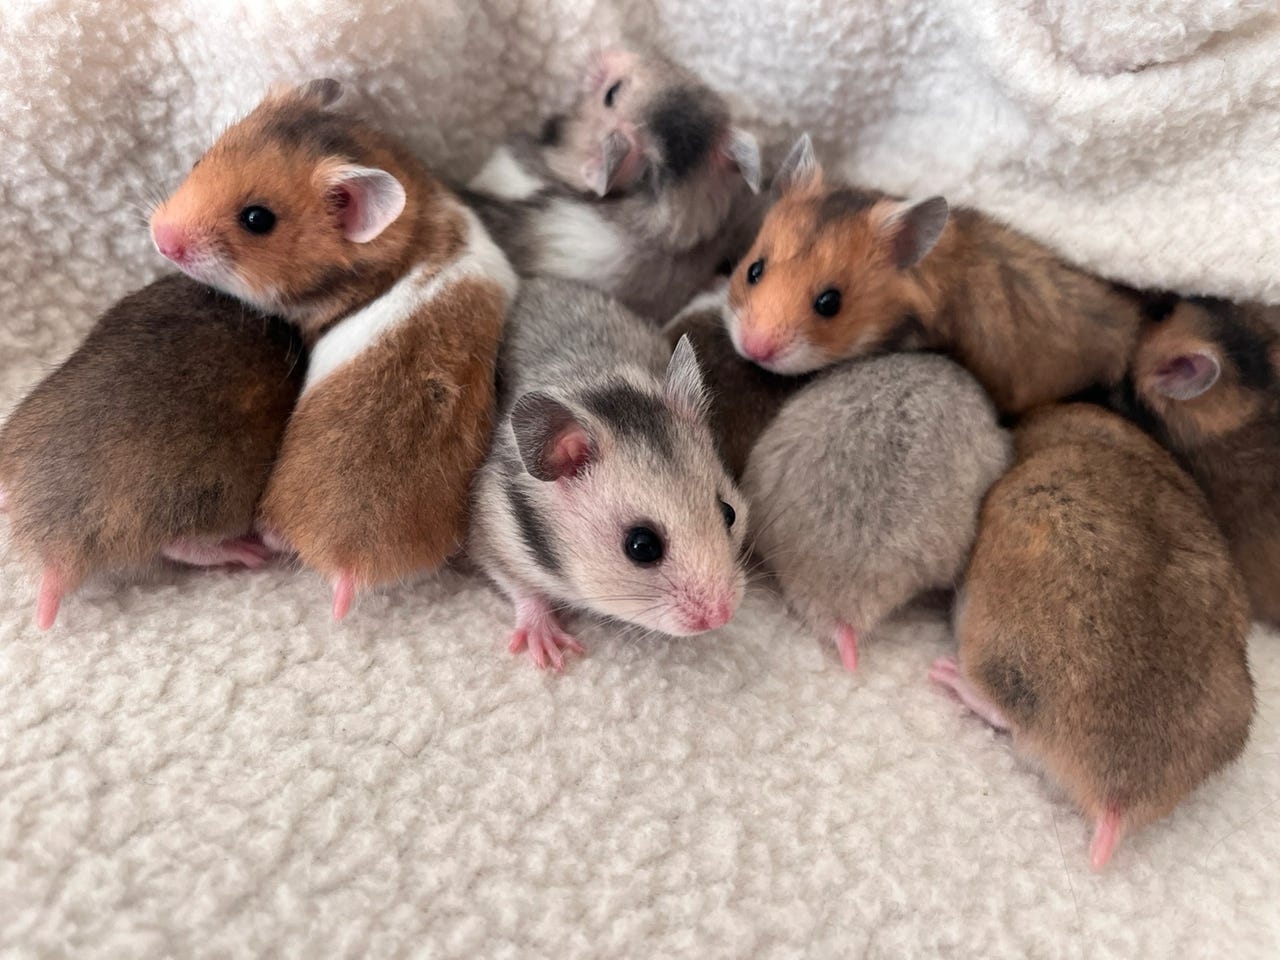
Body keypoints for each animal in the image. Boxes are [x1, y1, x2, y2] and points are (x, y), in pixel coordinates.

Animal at [469, 278, 748, 670]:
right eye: (641, 546)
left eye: (729, 513)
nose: (722, 617)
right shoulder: (492, 530)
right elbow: (520, 586)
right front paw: (551, 654)